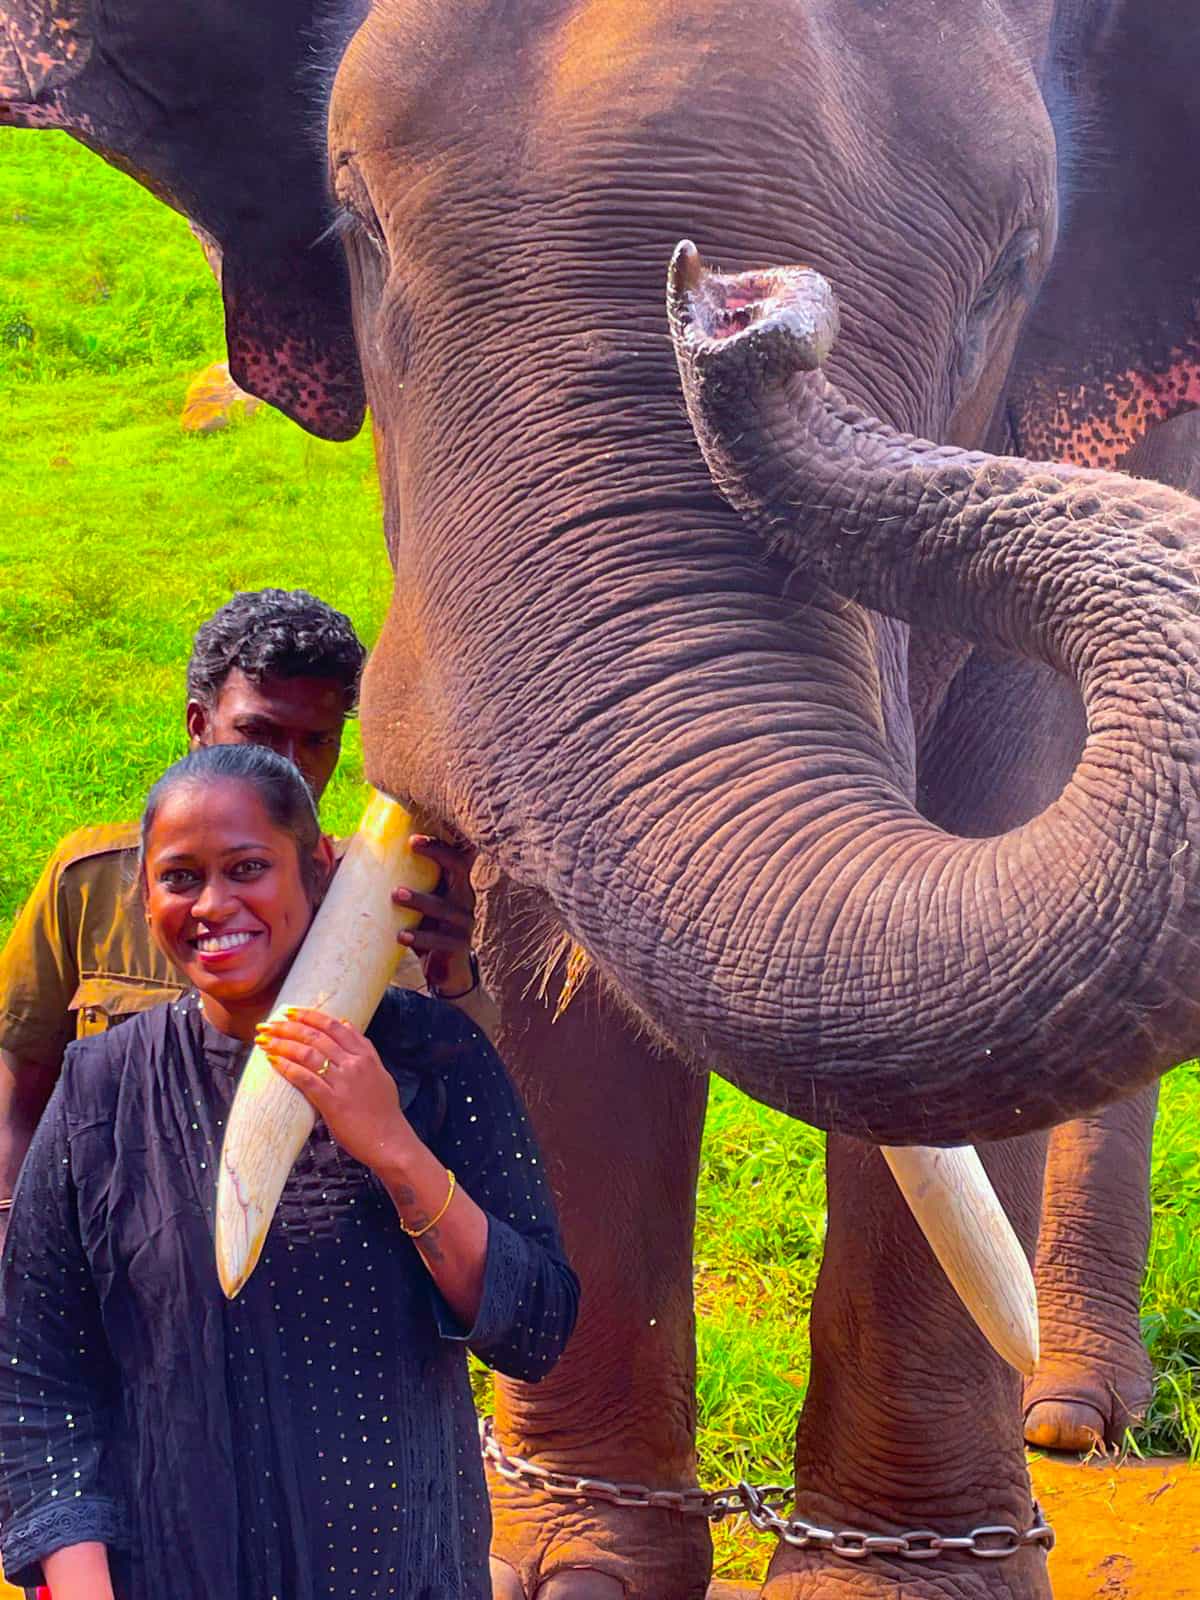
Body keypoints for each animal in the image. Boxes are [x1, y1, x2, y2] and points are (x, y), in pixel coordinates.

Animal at [2, 3, 1200, 1600]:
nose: (737, 298)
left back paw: (1073, 1413)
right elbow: (535, 964)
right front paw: (579, 1571)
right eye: (356, 222)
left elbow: (1005, 805)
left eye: (1013, 270)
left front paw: (890, 1586)